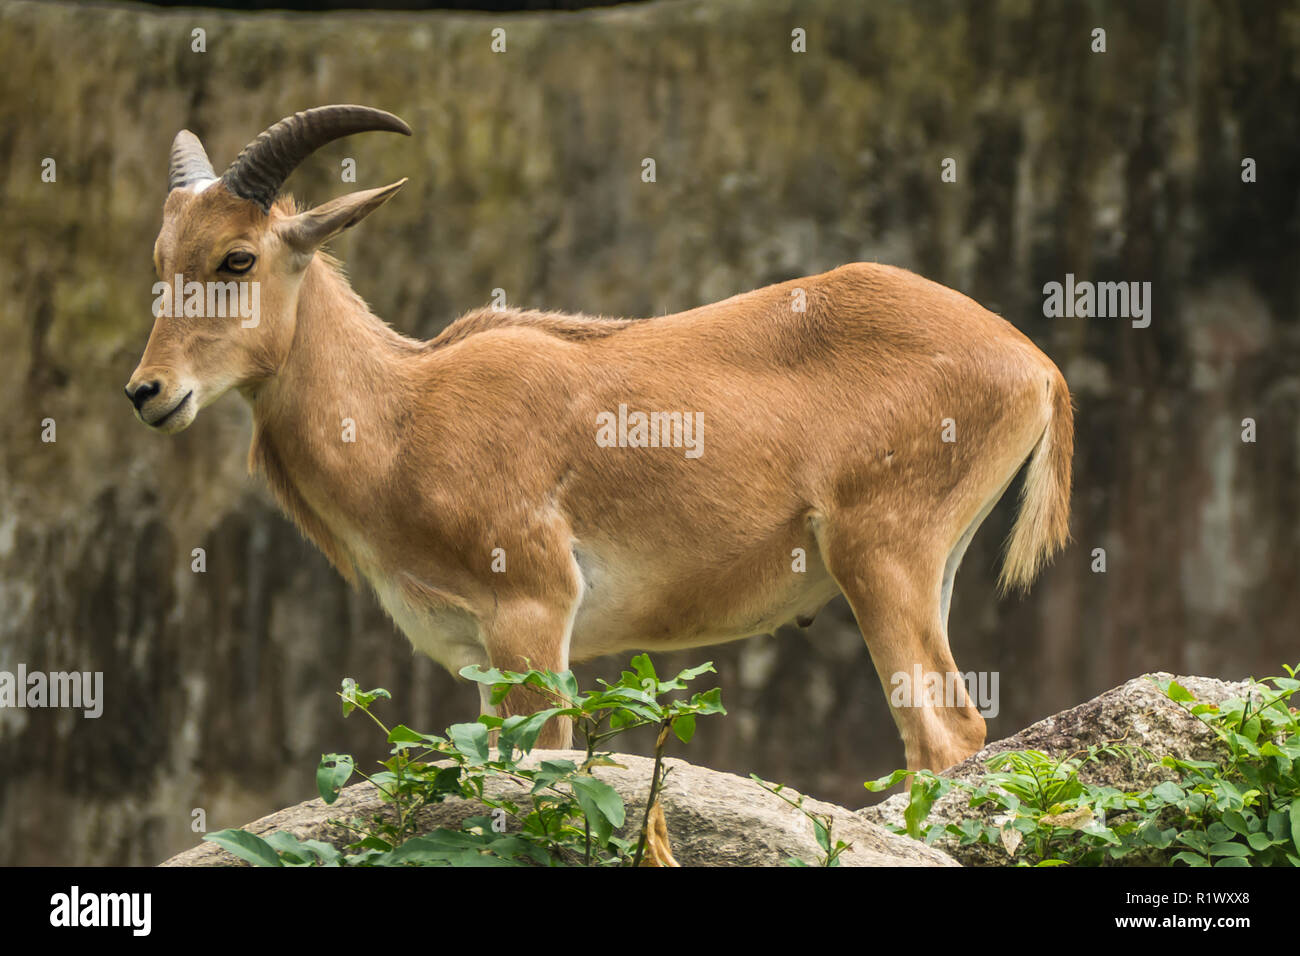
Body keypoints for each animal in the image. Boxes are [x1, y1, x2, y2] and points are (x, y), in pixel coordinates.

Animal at [126, 105, 1072, 772]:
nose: (148, 393)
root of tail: (1031, 363)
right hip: (930, 563)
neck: (404, 416)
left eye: (238, 258)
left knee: (946, 729)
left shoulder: (535, 610)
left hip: (881, 552)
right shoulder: (484, 659)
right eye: (161, 263)